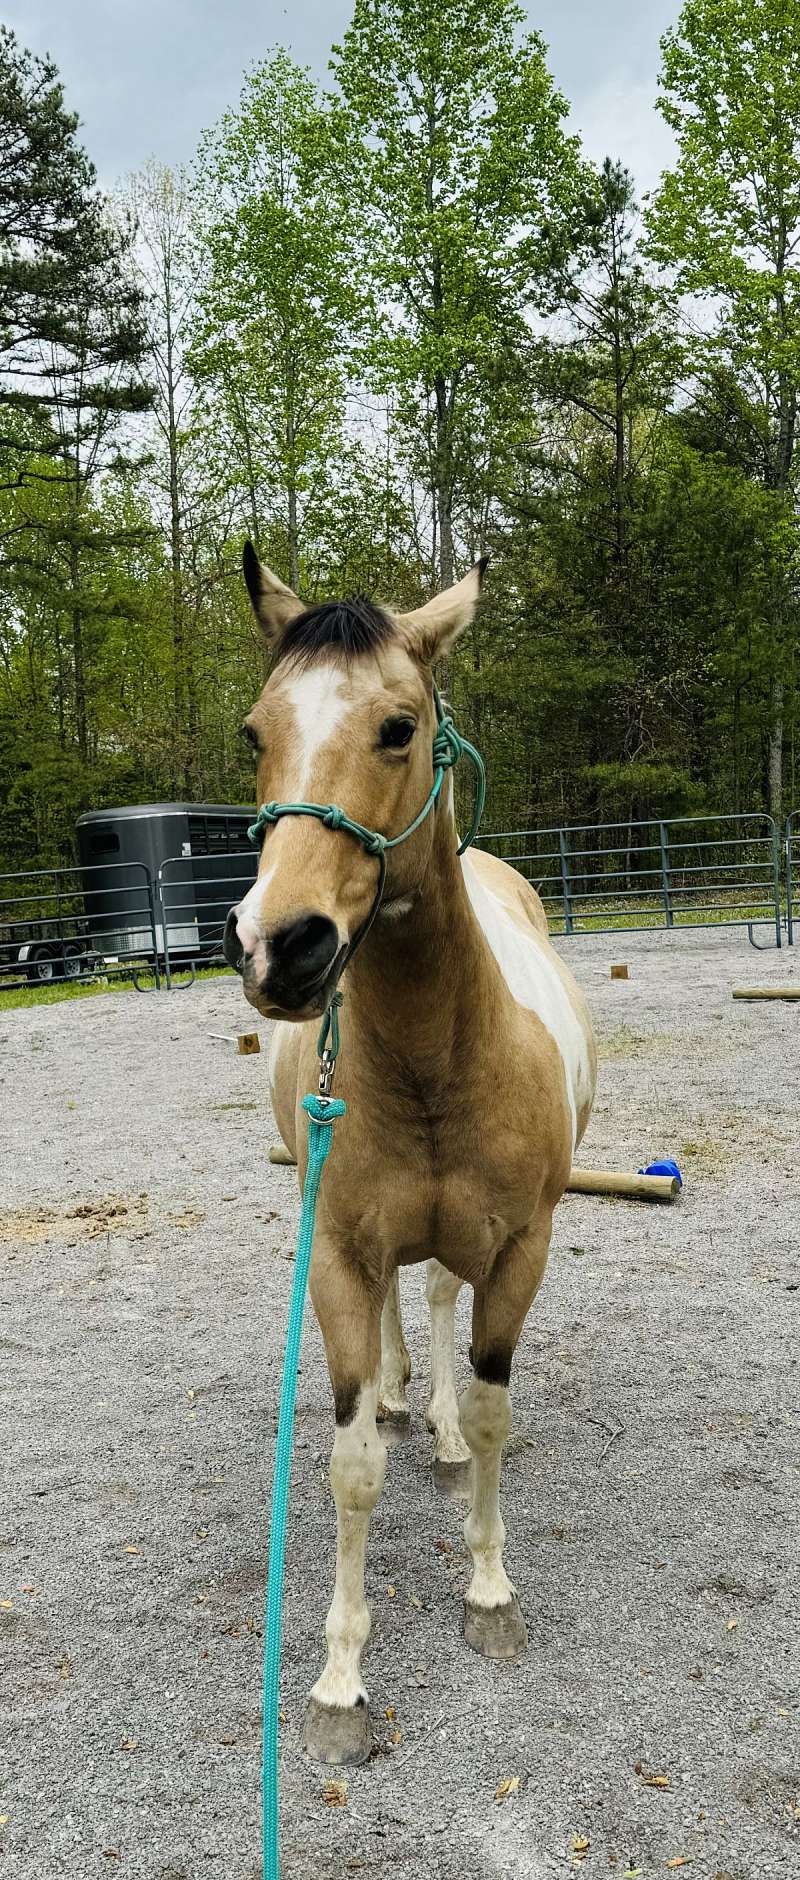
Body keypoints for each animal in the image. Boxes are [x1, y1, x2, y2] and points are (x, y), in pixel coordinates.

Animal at [224, 544, 596, 1767]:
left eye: (397, 726)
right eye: (256, 731)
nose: (280, 945)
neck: (441, 1053)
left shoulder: (521, 1250)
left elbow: (487, 1412)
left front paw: (488, 1590)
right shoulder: (337, 1252)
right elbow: (348, 1467)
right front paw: (340, 1679)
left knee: (432, 1299)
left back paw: (423, 1411)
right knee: (399, 1305)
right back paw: (394, 1393)